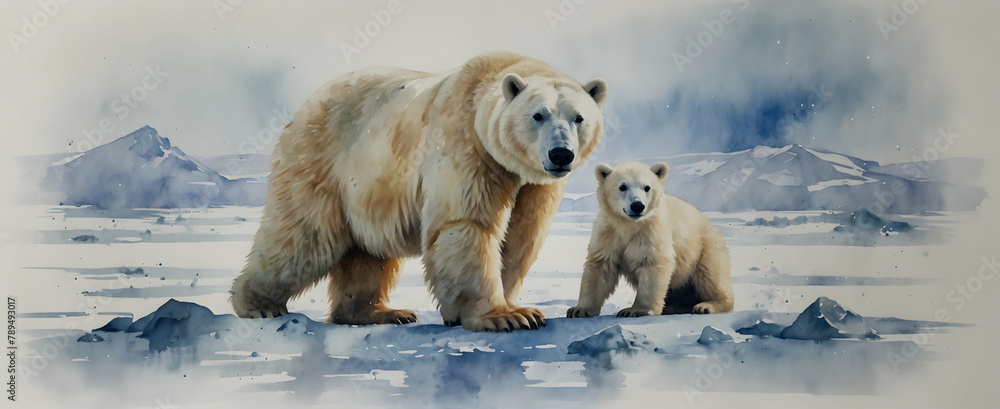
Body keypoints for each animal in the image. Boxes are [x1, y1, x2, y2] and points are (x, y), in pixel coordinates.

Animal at [229, 52, 609, 332]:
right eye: (538, 115)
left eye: (578, 118)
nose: (561, 154)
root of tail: (306, 104)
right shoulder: (467, 146)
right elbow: (467, 223)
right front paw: (505, 316)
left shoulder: (534, 184)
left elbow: (521, 234)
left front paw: (516, 306)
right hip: (322, 161)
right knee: (301, 235)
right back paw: (258, 305)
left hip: (370, 190)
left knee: (369, 253)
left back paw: (378, 312)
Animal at [567, 161, 734, 319]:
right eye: (622, 186)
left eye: (647, 187)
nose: (637, 205)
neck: (629, 225)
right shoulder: (608, 233)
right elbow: (600, 267)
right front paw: (579, 310)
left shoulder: (651, 231)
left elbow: (652, 263)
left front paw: (633, 311)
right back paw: (673, 306)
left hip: (706, 247)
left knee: (711, 275)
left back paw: (705, 306)